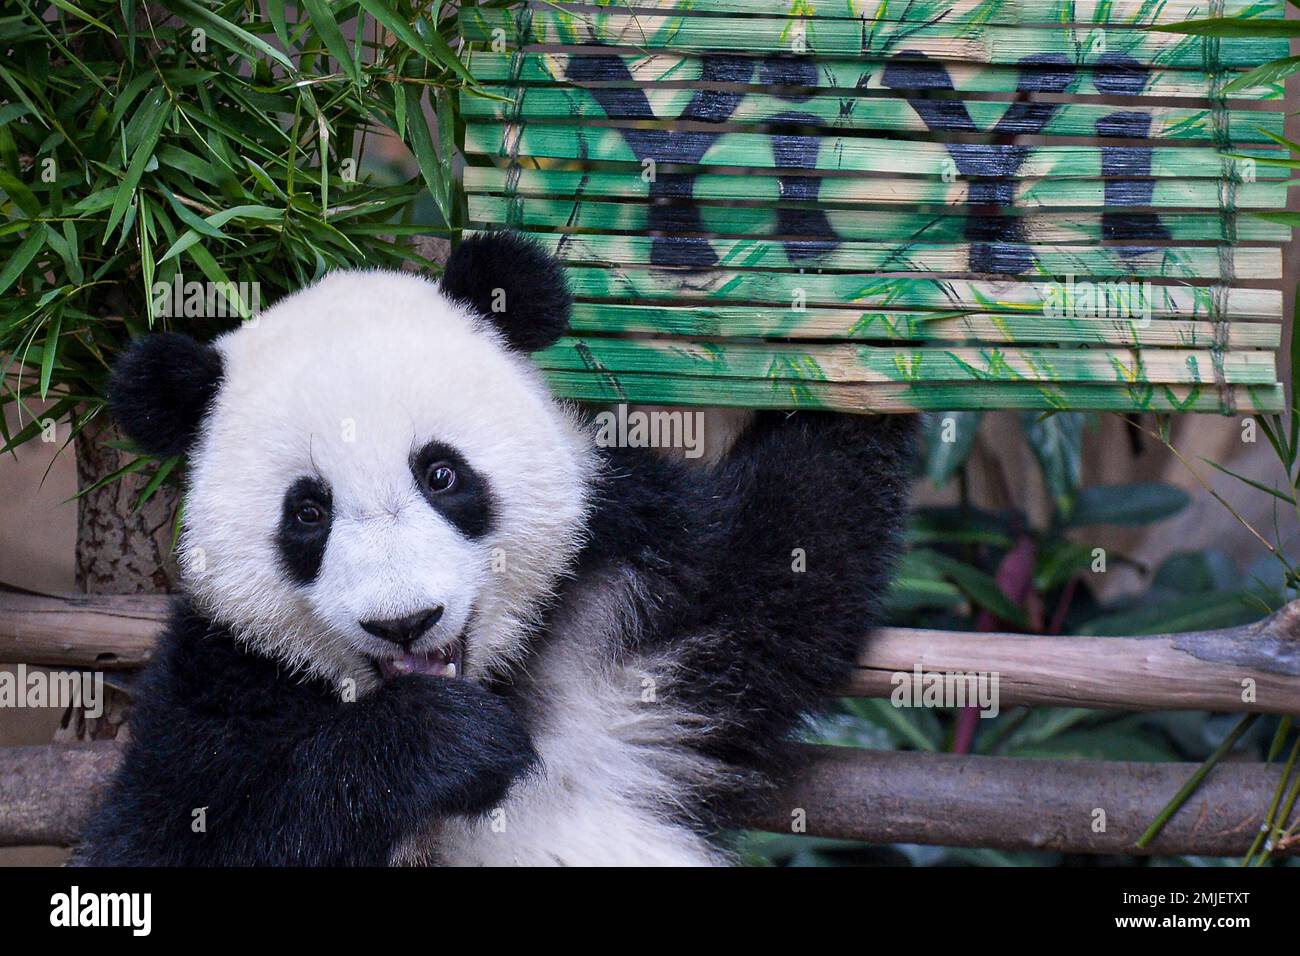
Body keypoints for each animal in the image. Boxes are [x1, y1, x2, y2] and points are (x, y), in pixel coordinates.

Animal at [75, 231, 916, 866]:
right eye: (308, 513)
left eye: (442, 474)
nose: (404, 622)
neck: (489, 682)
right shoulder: (220, 683)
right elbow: (167, 840)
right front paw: (442, 744)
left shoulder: (641, 620)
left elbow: (793, 551)